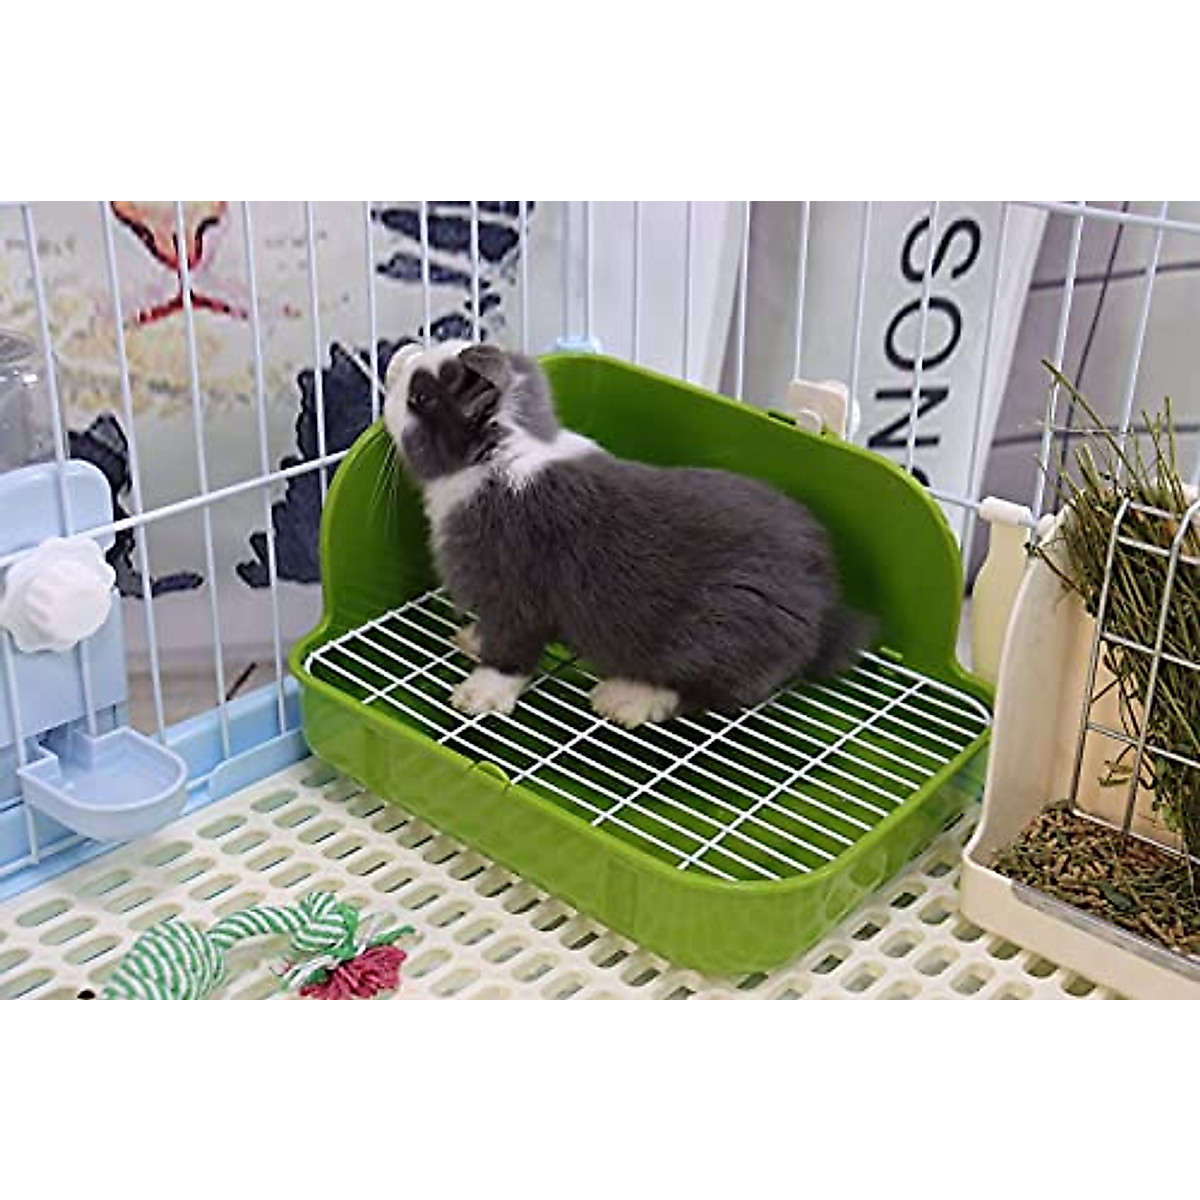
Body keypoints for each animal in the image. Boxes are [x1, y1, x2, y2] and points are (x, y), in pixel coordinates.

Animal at [383, 340, 873, 728]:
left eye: (421, 396)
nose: (395, 366)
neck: (497, 456)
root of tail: (824, 607)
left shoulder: (514, 599)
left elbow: (511, 655)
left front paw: (475, 697)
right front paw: (469, 639)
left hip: (717, 638)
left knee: (702, 692)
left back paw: (624, 700)